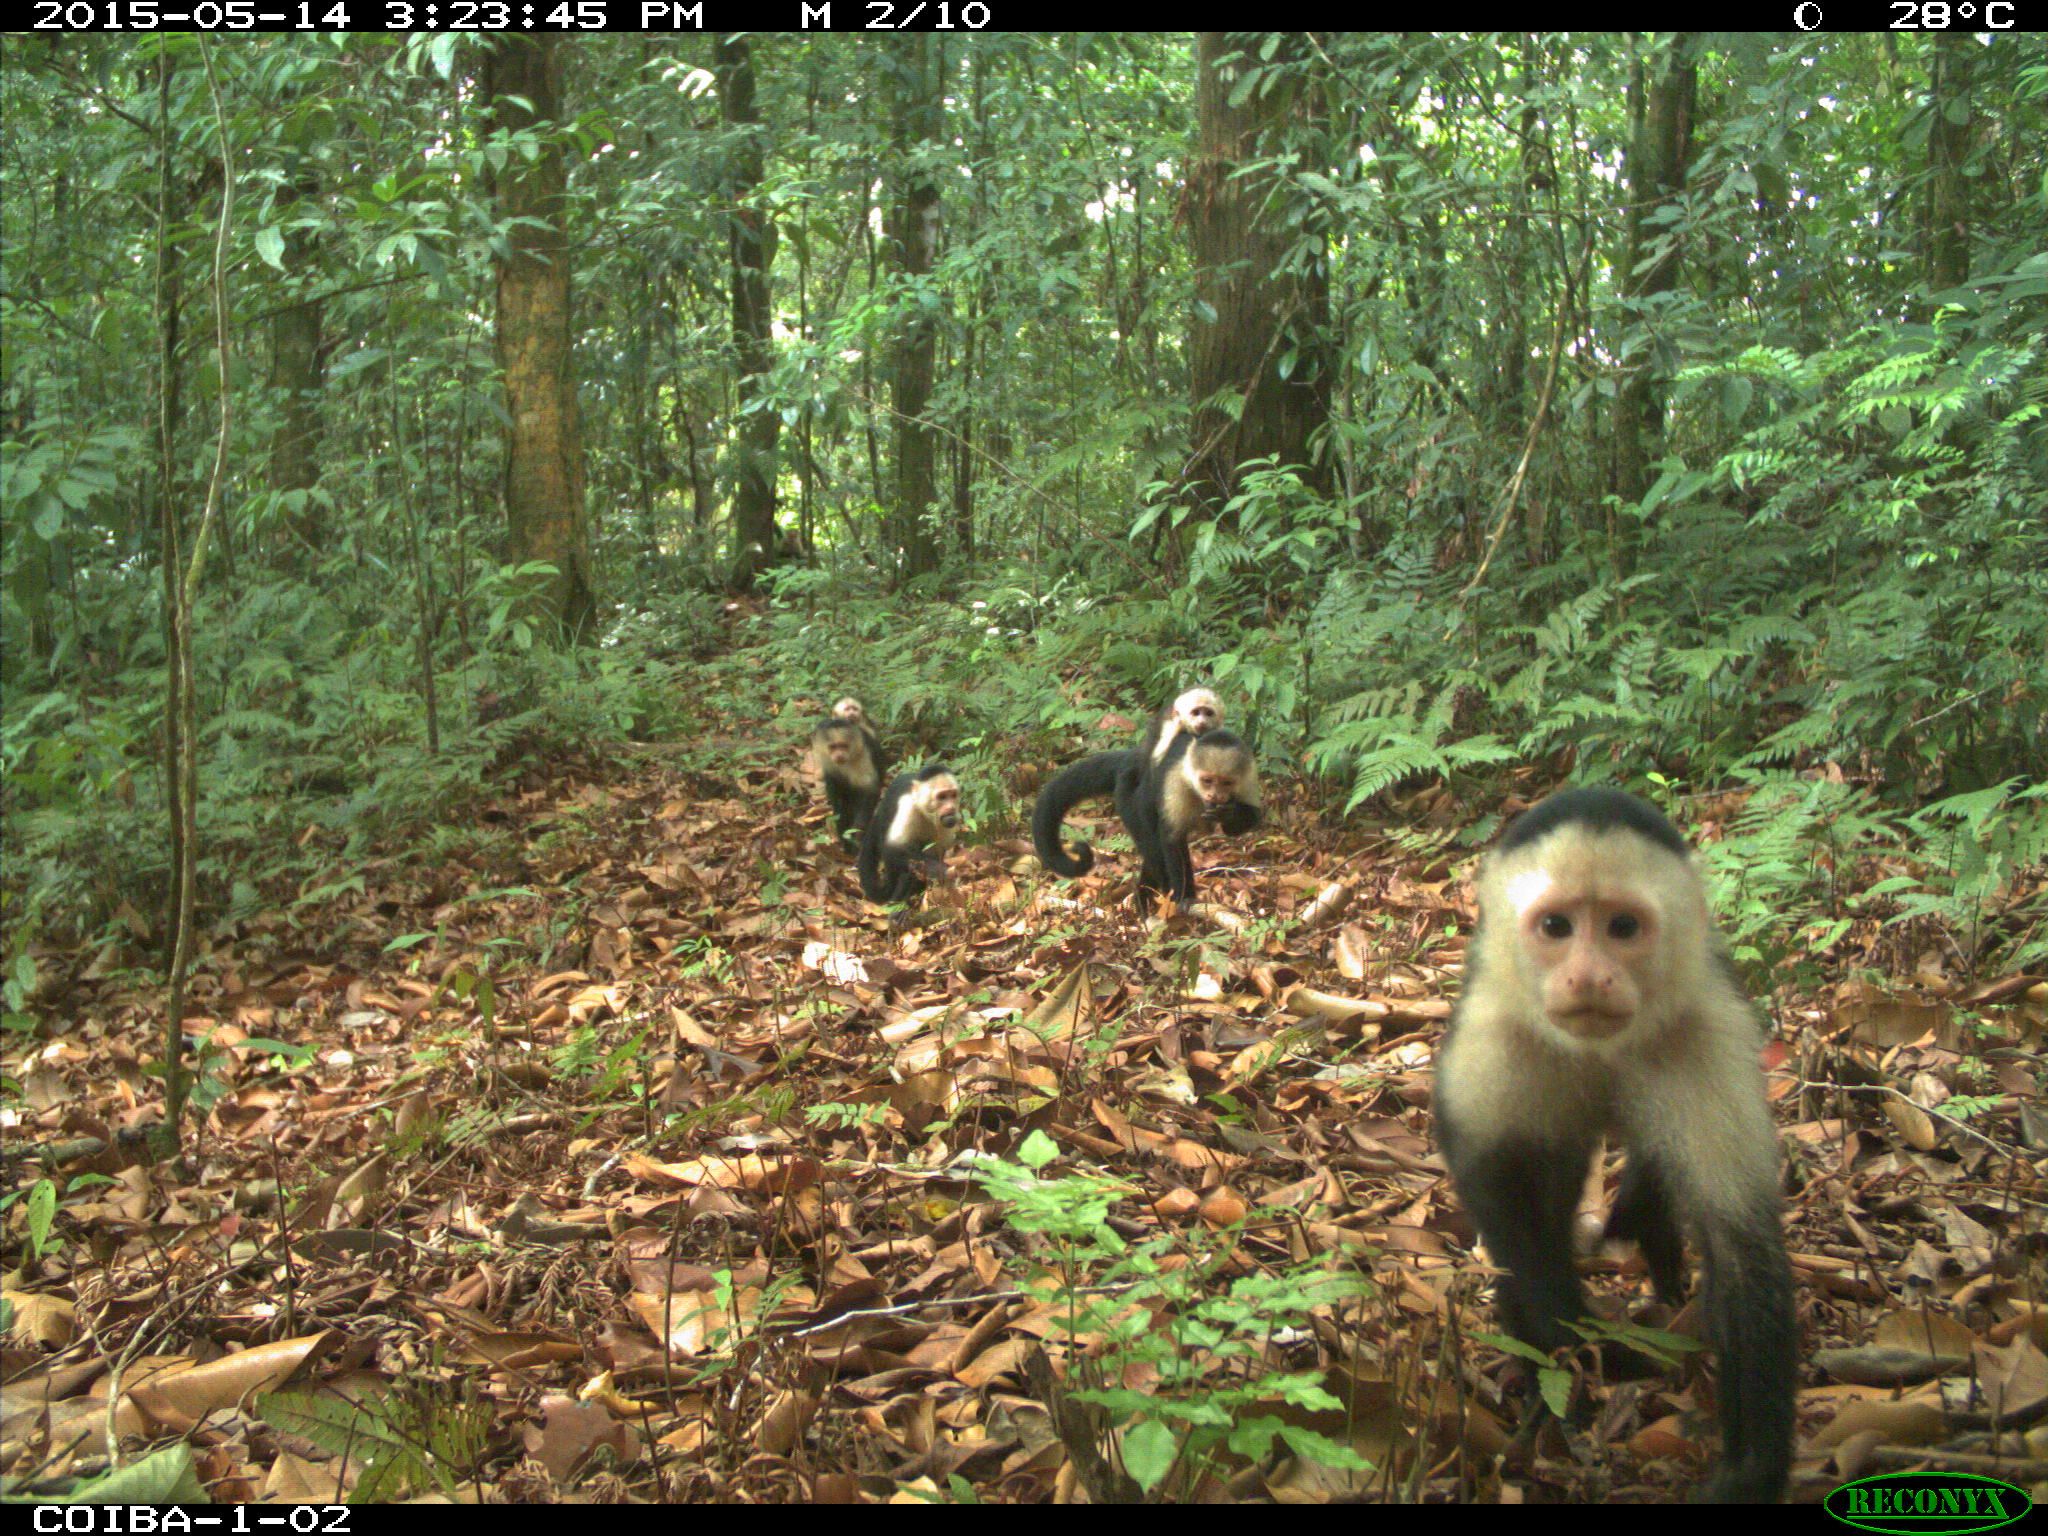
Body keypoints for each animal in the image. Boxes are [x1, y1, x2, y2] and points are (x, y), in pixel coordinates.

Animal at [810, 697, 889, 849]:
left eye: (844, 746)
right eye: (833, 747)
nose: (839, 755)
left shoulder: (864, 752)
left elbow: (869, 790)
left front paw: (857, 830)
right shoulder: (825, 755)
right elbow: (834, 786)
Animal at [859, 764, 963, 903]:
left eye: (953, 795)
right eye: (942, 797)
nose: (951, 807)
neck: (925, 812)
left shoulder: (948, 821)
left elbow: (938, 852)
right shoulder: (908, 807)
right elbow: (893, 849)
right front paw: (944, 871)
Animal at [1032, 728, 1261, 907]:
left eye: (1226, 783)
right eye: (1207, 780)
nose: (1215, 795)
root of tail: (1134, 757)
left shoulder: (1249, 777)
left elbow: (1238, 828)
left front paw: (1230, 812)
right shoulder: (1176, 780)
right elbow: (1171, 839)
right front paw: (1185, 896)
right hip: (1127, 790)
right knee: (1151, 842)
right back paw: (1159, 892)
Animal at [1431, 787, 1795, 1503]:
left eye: (1622, 928)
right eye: (1557, 927)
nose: (1590, 978)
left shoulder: (1702, 1026)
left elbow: (1739, 1240)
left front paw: (1751, 1466)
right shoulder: (1498, 1023)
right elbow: (1493, 1173)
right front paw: (1570, 1334)